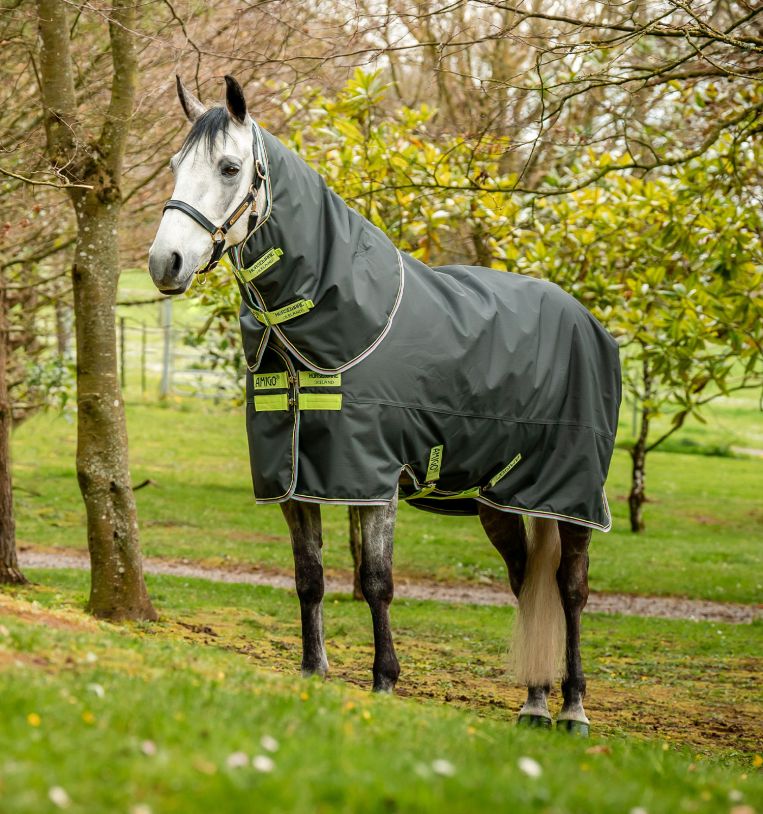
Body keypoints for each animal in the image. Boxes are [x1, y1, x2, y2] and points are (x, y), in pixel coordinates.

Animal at [148, 75, 621, 735]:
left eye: (229, 167)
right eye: (174, 165)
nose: (164, 264)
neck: (334, 323)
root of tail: (586, 321)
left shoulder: (372, 481)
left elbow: (376, 582)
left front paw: (384, 682)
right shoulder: (296, 482)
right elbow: (310, 578)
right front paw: (313, 672)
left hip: (571, 495)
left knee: (572, 589)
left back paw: (574, 707)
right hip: (502, 499)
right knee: (527, 580)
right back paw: (532, 703)